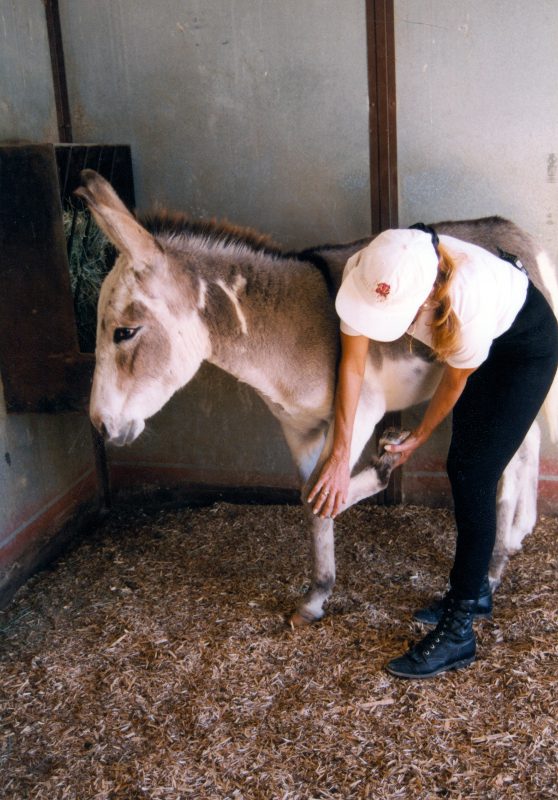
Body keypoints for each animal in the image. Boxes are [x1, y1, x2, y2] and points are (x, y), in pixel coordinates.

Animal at [76, 169, 558, 626]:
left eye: (124, 332)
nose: (99, 425)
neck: (288, 333)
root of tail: (517, 234)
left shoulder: (358, 414)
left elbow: (324, 496)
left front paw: (378, 475)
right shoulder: (298, 427)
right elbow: (311, 499)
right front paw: (316, 596)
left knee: (502, 464)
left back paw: (493, 566)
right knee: (527, 444)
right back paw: (517, 534)